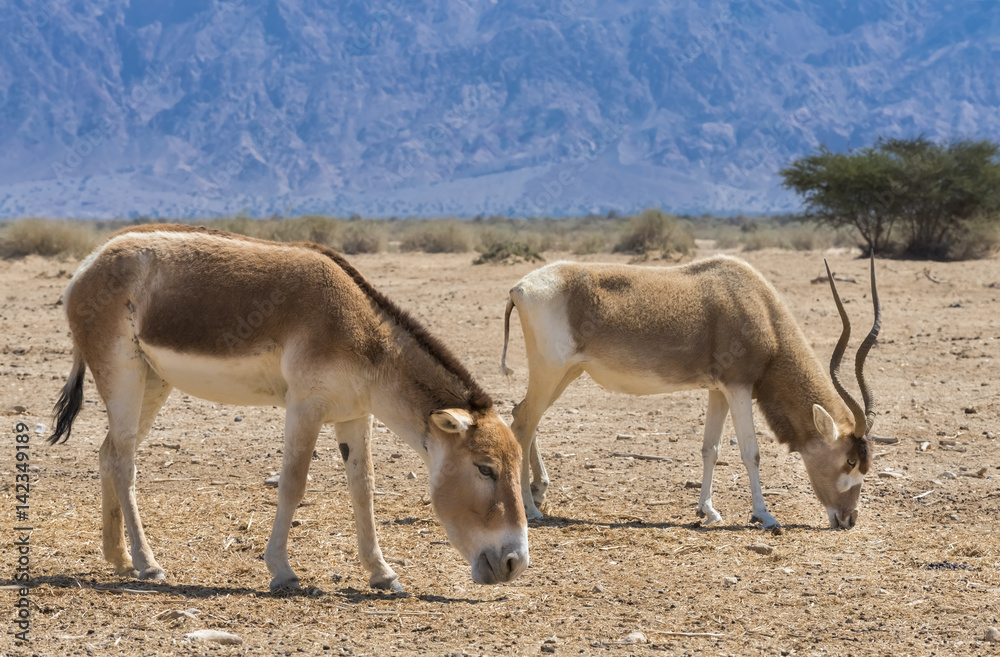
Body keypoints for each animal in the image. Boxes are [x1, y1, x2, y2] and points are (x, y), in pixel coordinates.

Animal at [50, 225, 528, 592]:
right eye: (486, 469)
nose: (515, 564)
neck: (368, 337)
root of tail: (89, 262)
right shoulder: (305, 407)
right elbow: (293, 485)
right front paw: (282, 571)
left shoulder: (354, 415)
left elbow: (363, 489)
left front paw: (381, 573)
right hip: (123, 374)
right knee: (124, 462)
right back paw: (147, 564)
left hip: (154, 381)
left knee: (109, 453)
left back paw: (119, 557)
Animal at [501, 255, 881, 529]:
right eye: (849, 460)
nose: (848, 520)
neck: (755, 303)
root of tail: (519, 288)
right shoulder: (738, 385)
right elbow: (751, 452)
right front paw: (764, 515)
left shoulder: (719, 389)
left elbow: (711, 449)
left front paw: (707, 511)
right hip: (551, 371)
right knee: (523, 424)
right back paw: (531, 510)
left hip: (566, 373)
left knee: (522, 414)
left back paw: (538, 493)